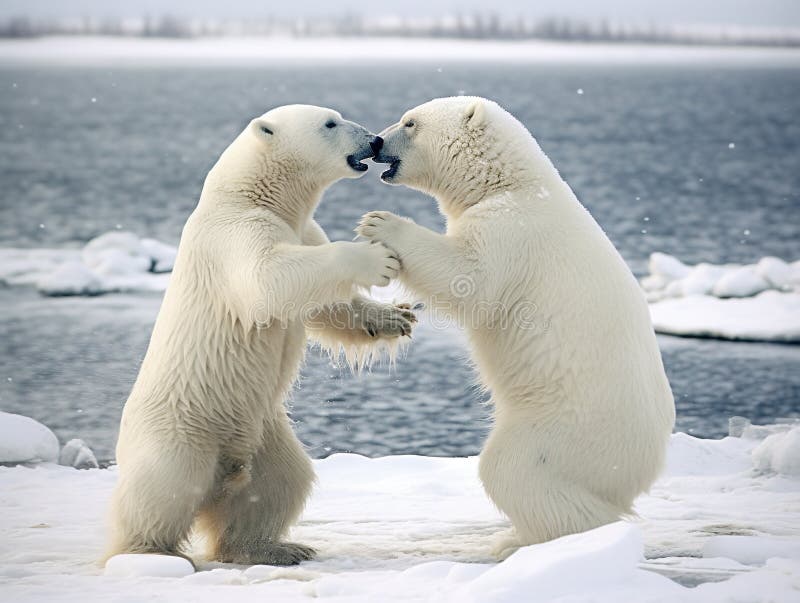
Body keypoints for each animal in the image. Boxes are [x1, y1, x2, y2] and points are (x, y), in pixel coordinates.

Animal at [106, 104, 415, 567]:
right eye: (330, 122)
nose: (375, 140)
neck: (250, 193)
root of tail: (223, 474)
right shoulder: (235, 233)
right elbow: (268, 278)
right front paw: (376, 257)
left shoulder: (304, 229)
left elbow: (325, 304)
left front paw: (395, 316)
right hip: (180, 431)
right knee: (161, 490)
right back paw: (148, 553)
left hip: (263, 431)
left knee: (279, 483)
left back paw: (275, 547)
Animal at [357, 97, 675, 558]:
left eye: (410, 122)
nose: (378, 141)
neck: (512, 183)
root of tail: (643, 466)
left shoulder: (511, 230)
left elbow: (469, 278)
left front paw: (381, 223)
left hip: (565, 428)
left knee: (515, 471)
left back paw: (533, 541)